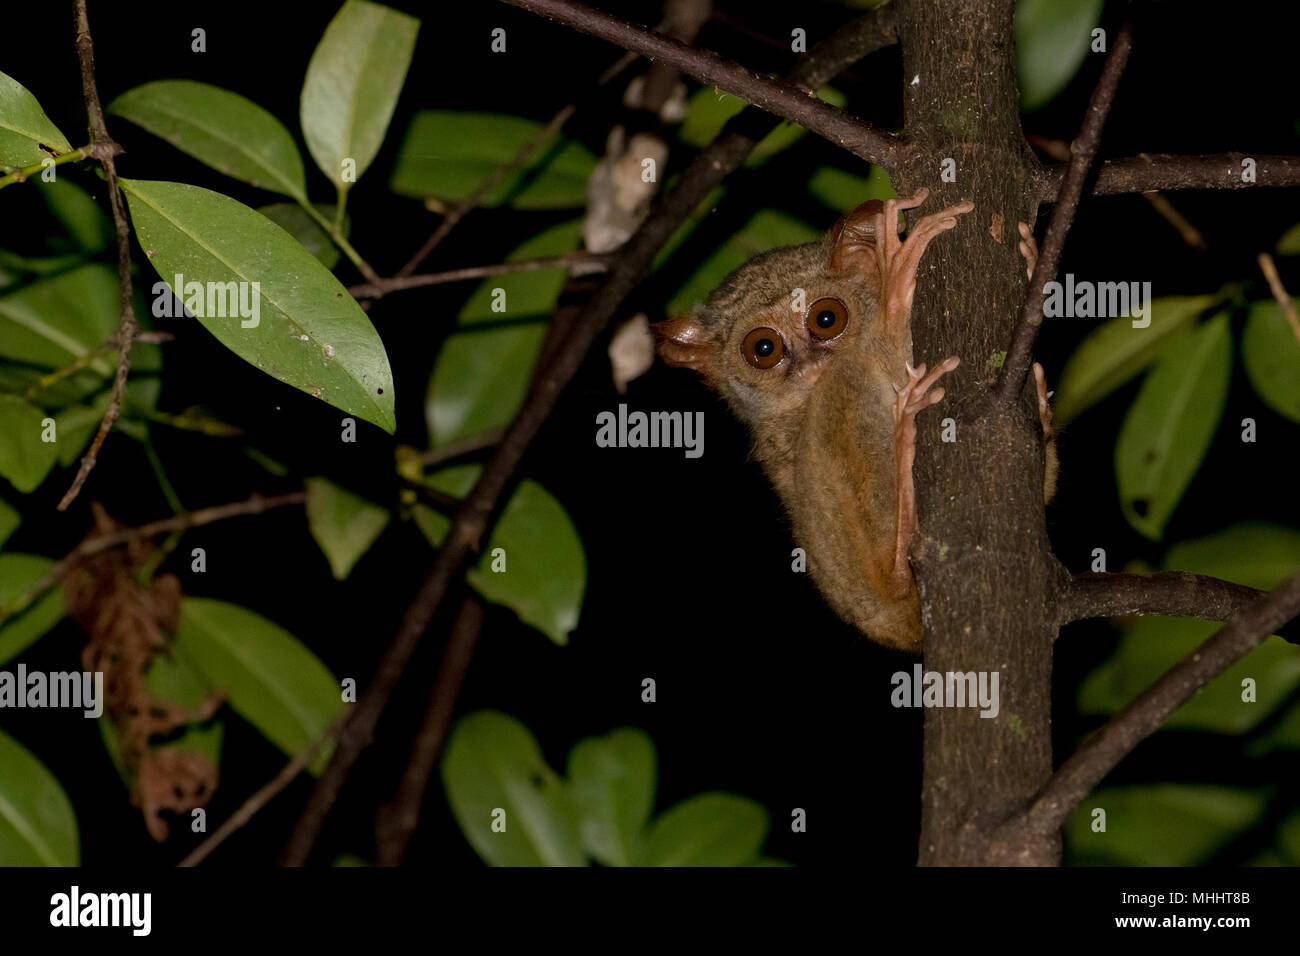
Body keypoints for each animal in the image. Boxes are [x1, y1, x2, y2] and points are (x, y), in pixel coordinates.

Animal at [654, 188, 1054, 653]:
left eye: (826, 319)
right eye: (764, 349)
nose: (809, 367)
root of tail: (905, 633)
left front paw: (1034, 264)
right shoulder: (785, 432)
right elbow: (879, 348)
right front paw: (896, 290)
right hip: (859, 573)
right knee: (845, 381)